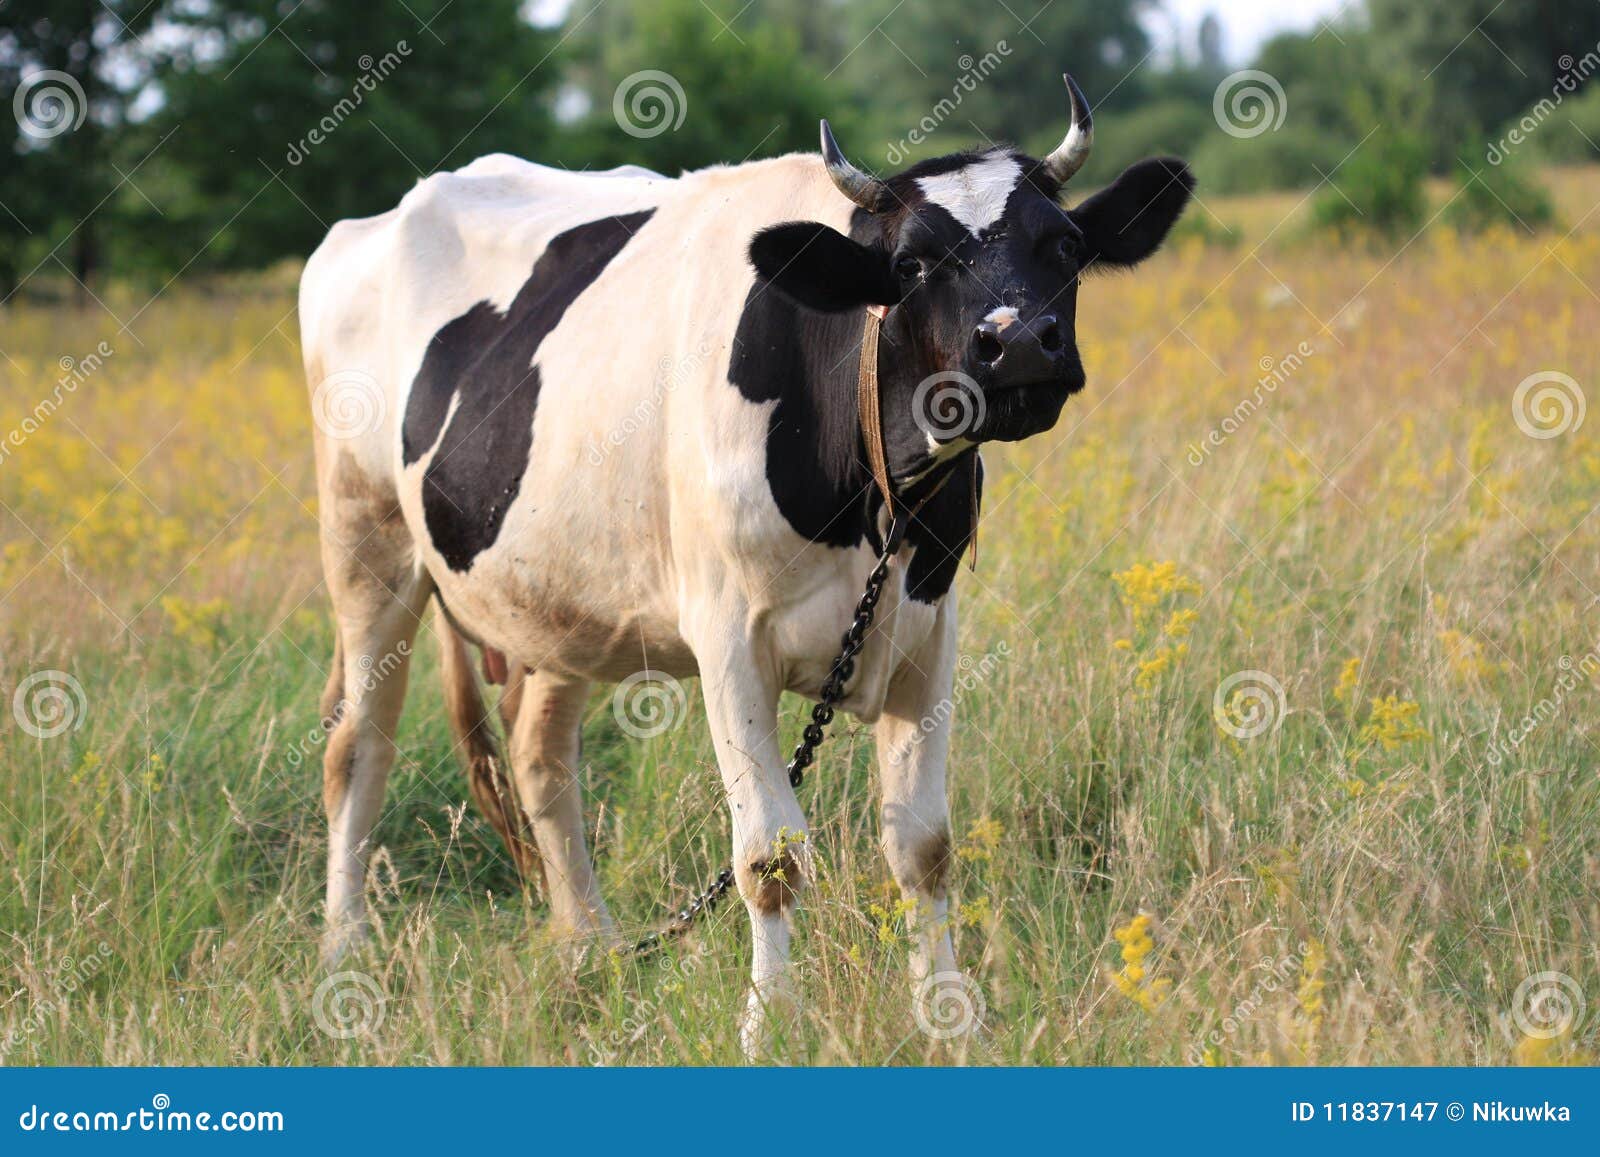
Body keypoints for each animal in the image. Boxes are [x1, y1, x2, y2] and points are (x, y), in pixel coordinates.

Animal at [299, 73, 1192, 1055]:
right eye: (913, 265)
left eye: (1063, 242)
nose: (1021, 341)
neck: (868, 491)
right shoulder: (728, 641)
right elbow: (768, 855)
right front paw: (770, 1030)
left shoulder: (929, 633)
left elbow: (923, 846)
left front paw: (951, 1021)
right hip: (366, 543)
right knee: (357, 747)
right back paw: (343, 956)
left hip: (559, 594)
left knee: (539, 753)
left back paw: (590, 947)